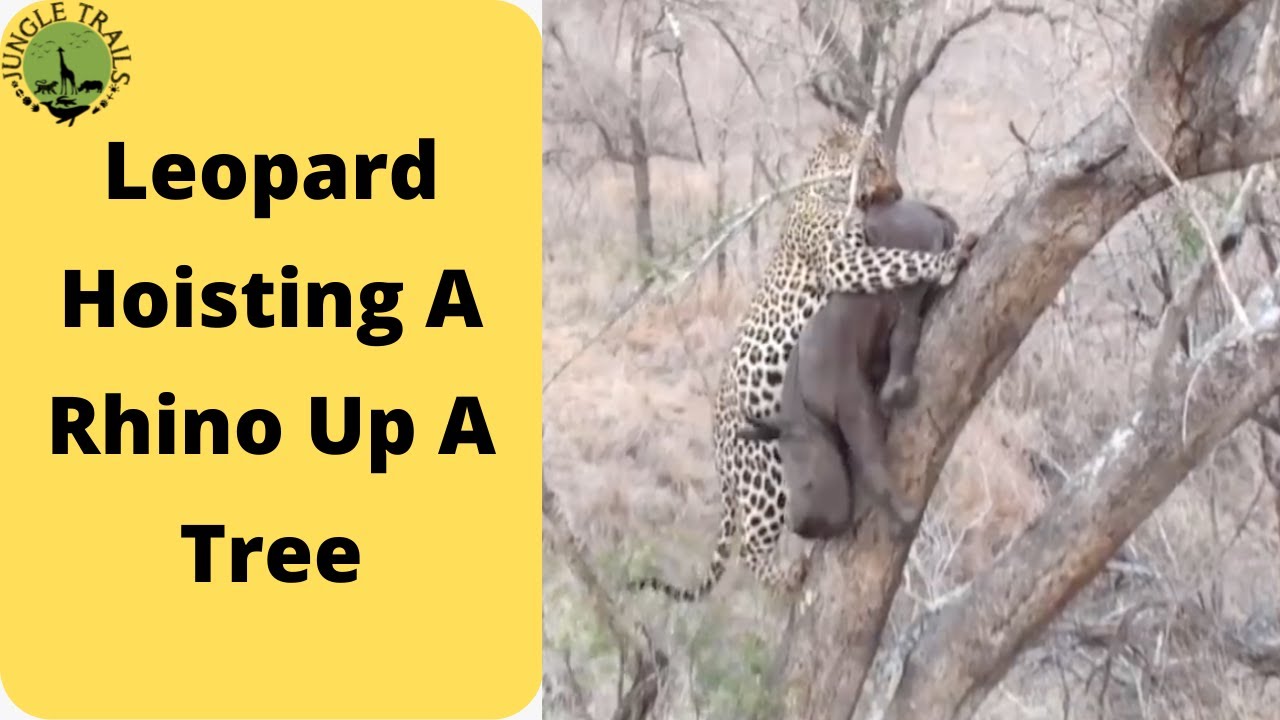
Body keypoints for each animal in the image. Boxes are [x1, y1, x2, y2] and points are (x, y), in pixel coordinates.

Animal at [627, 120, 975, 601]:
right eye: (875, 162)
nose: (898, 190)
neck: (828, 191)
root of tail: (716, 442)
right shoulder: (845, 259)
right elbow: (900, 260)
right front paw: (946, 258)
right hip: (763, 475)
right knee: (751, 547)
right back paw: (789, 574)